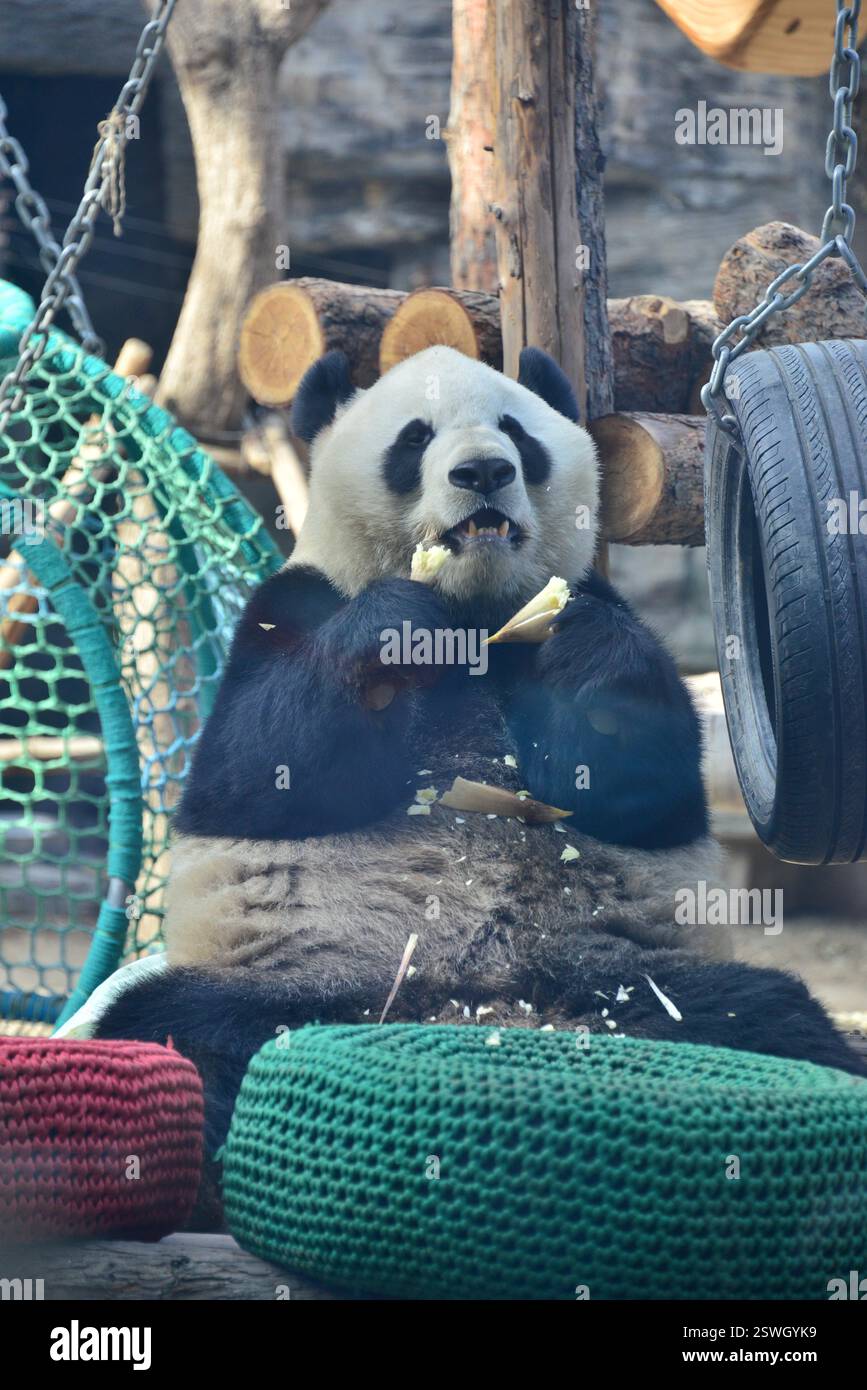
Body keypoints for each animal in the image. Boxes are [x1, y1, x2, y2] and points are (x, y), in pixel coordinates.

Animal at [97, 345, 866, 1156]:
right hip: (296, 976)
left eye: (516, 433)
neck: (473, 617)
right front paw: (387, 635)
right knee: (178, 1028)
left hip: (632, 977)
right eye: (414, 439)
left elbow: (642, 792)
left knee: (766, 1017)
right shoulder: (294, 601)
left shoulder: (586, 600)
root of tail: (485, 1008)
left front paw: (589, 654)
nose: (484, 472)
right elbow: (251, 771)